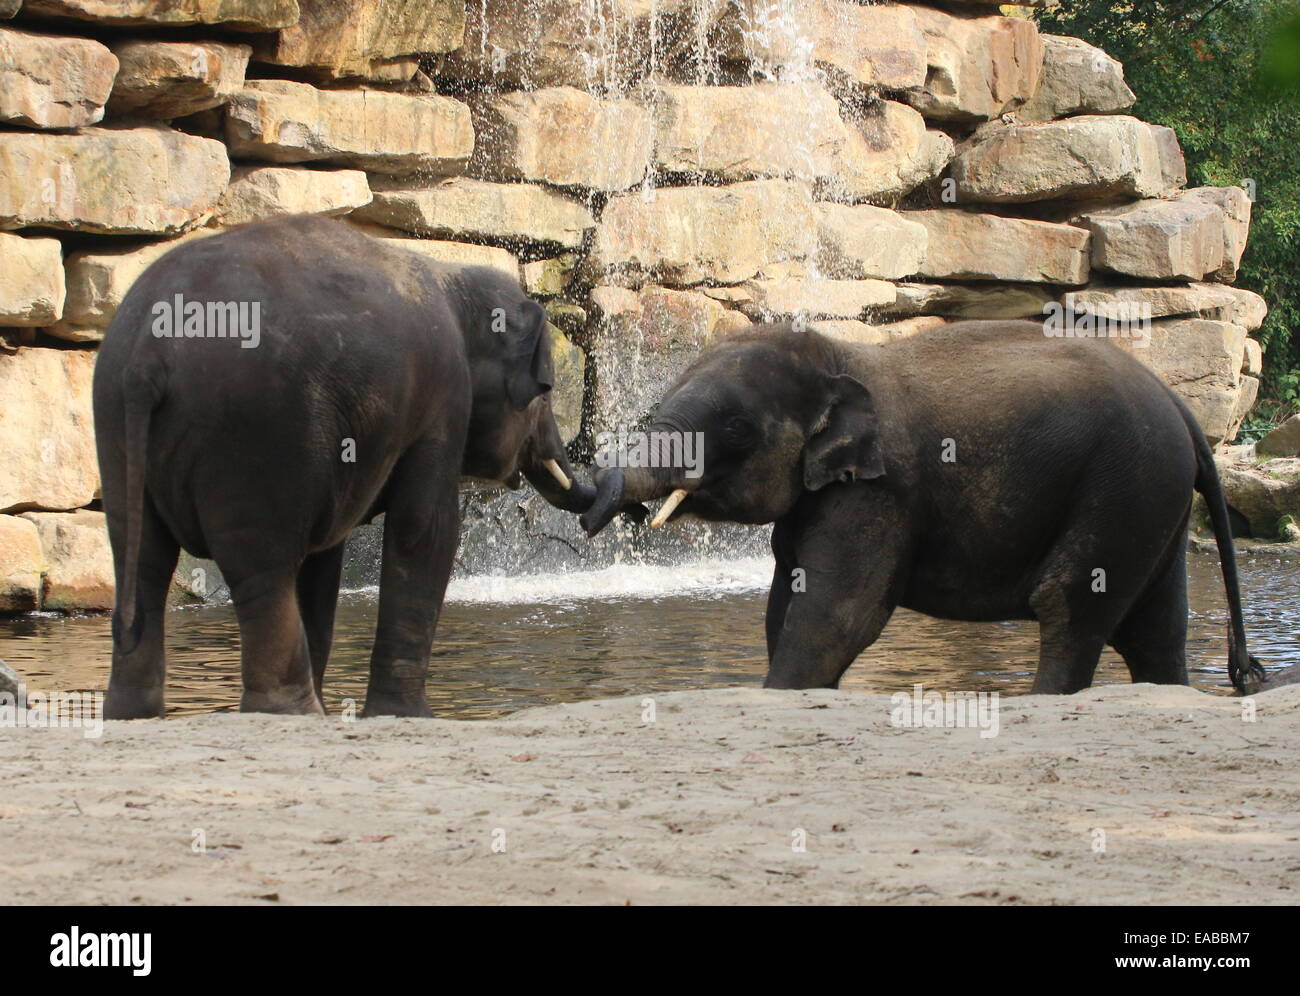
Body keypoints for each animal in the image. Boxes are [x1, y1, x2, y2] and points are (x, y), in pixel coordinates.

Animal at [94, 215, 594, 719]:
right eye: (546, 392)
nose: (595, 512)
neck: (449, 274)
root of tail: (147, 356)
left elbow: (326, 561)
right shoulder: (443, 400)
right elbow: (425, 530)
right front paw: (409, 715)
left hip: (116, 419)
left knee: (142, 557)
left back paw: (134, 713)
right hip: (253, 434)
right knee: (263, 571)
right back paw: (292, 712)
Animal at [581, 321, 1265, 695]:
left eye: (737, 428)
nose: (604, 515)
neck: (841, 355)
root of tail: (1181, 408)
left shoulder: (881, 490)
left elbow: (839, 612)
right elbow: (784, 604)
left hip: (1124, 484)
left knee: (1072, 605)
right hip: (1154, 500)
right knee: (1156, 629)